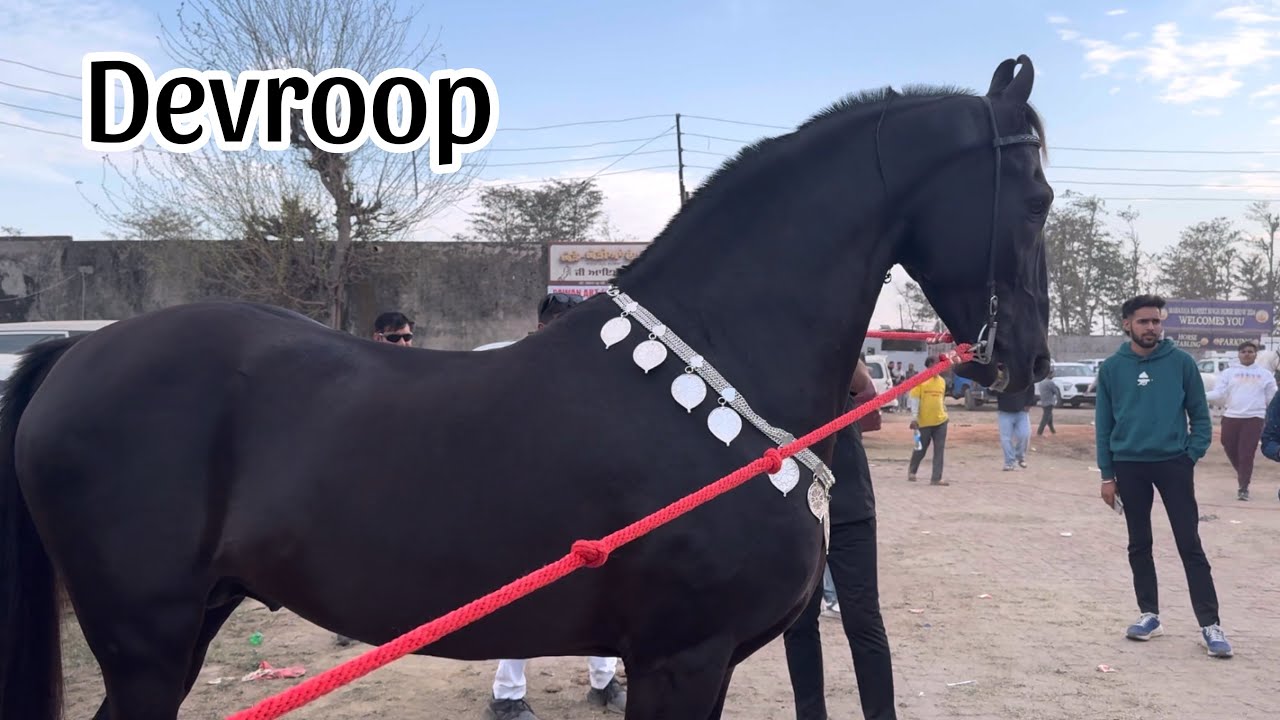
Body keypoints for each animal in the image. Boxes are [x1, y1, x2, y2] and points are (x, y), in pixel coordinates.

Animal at [0, 55, 1053, 720]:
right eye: (1039, 200)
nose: (1027, 367)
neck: (709, 382)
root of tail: (72, 355)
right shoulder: (681, 658)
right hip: (145, 638)